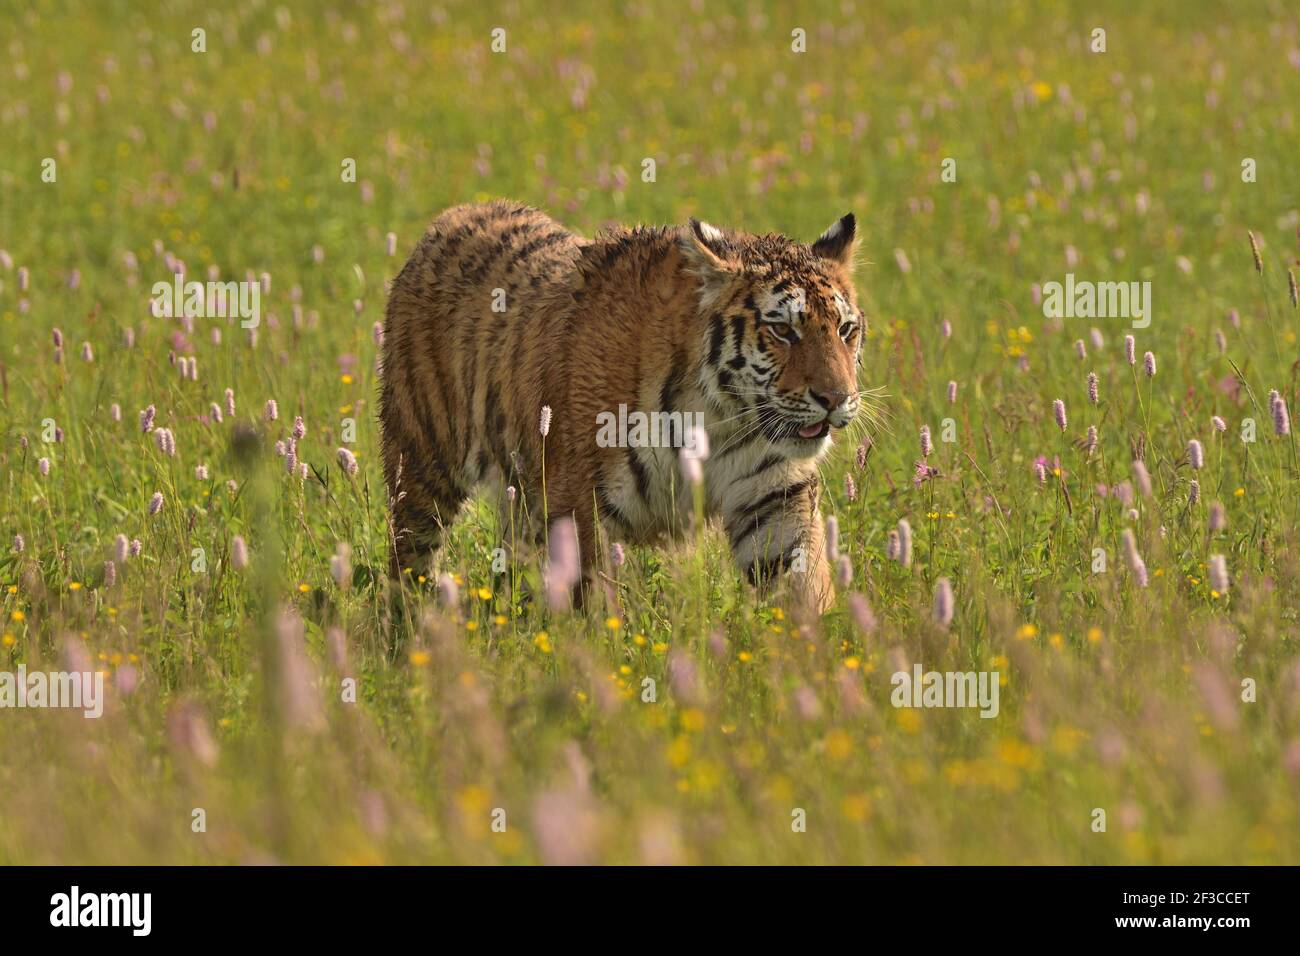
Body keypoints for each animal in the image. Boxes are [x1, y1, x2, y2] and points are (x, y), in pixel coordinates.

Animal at [379, 199, 866, 615]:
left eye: (846, 330)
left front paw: (819, 652)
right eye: (783, 330)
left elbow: (802, 580)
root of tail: (458, 213)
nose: (835, 398)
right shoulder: (578, 501)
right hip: (423, 467)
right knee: (410, 561)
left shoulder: (773, 492)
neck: (719, 414)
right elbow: (588, 604)